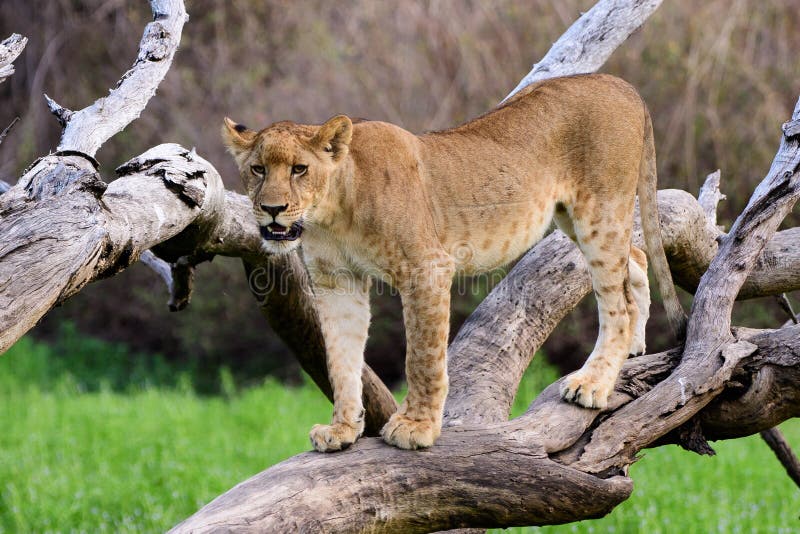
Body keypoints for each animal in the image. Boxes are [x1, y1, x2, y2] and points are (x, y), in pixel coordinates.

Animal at [222, 73, 685, 452]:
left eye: (299, 169)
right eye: (258, 169)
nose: (273, 210)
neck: (333, 213)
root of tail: (618, 82)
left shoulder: (426, 269)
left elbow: (422, 357)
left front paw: (416, 428)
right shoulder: (337, 282)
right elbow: (341, 359)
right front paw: (342, 430)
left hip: (598, 213)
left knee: (618, 302)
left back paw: (592, 383)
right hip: (573, 218)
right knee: (636, 259)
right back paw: (633, 349)